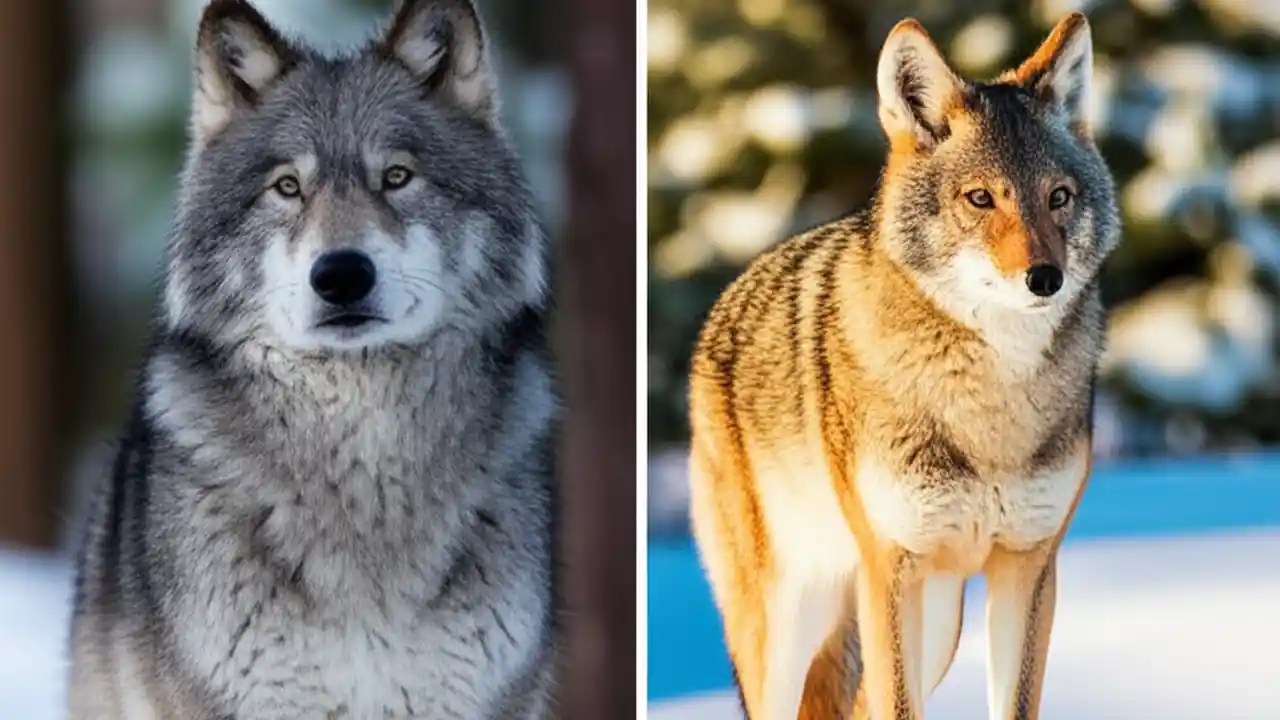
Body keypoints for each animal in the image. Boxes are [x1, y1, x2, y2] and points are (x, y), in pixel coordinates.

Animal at [688, 13, 1119, 720]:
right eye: (980, 198)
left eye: (1058, 197)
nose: (1045, 278)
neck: (990, 408)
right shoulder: (891, 568)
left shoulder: (1028, 568)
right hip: (789, 626)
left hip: (938, 621)